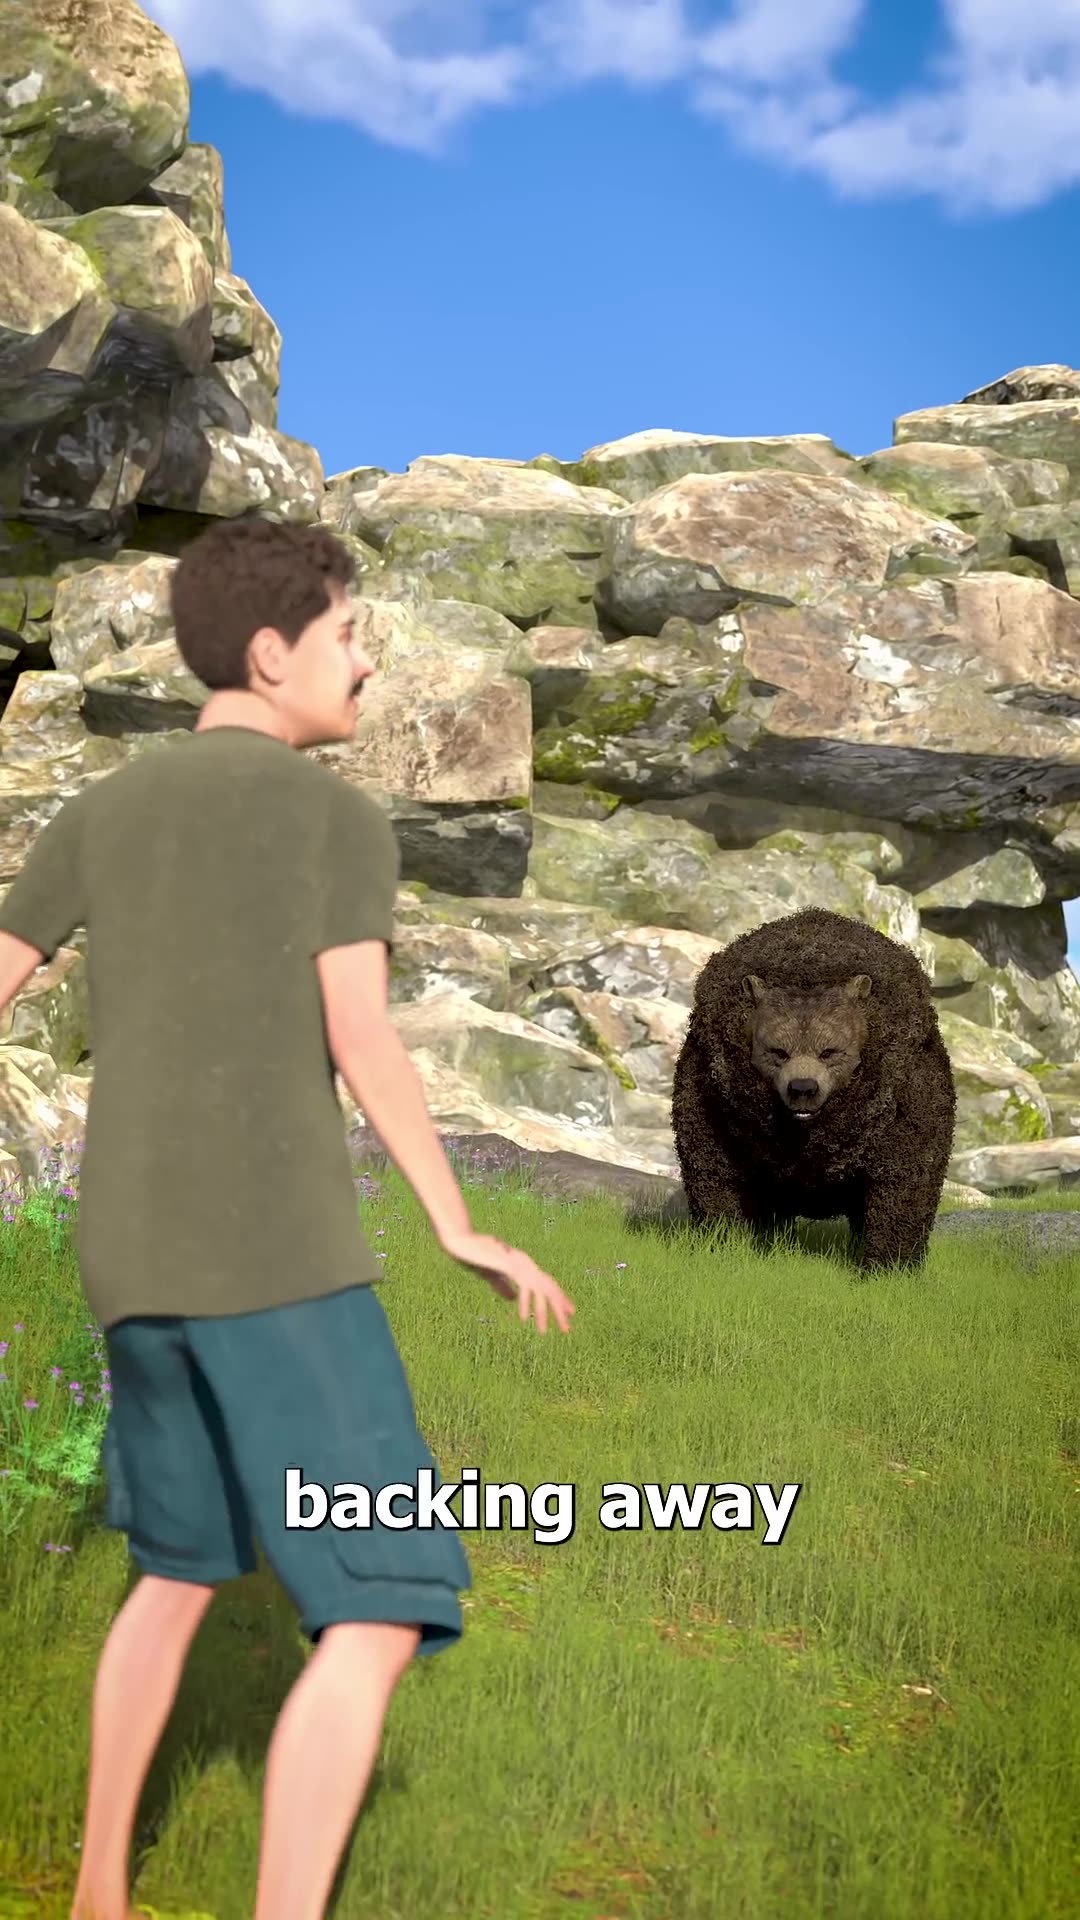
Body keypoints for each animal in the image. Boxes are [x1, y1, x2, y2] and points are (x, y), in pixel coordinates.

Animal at [670, 906, 957, 1270]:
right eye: (778, 1051)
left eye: (830, 1051)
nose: (803, 1087)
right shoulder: (712, 1098)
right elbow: (715, 1177)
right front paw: (724, 1247)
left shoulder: (903, 1100)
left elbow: (905, 1182)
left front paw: (889, 1266)